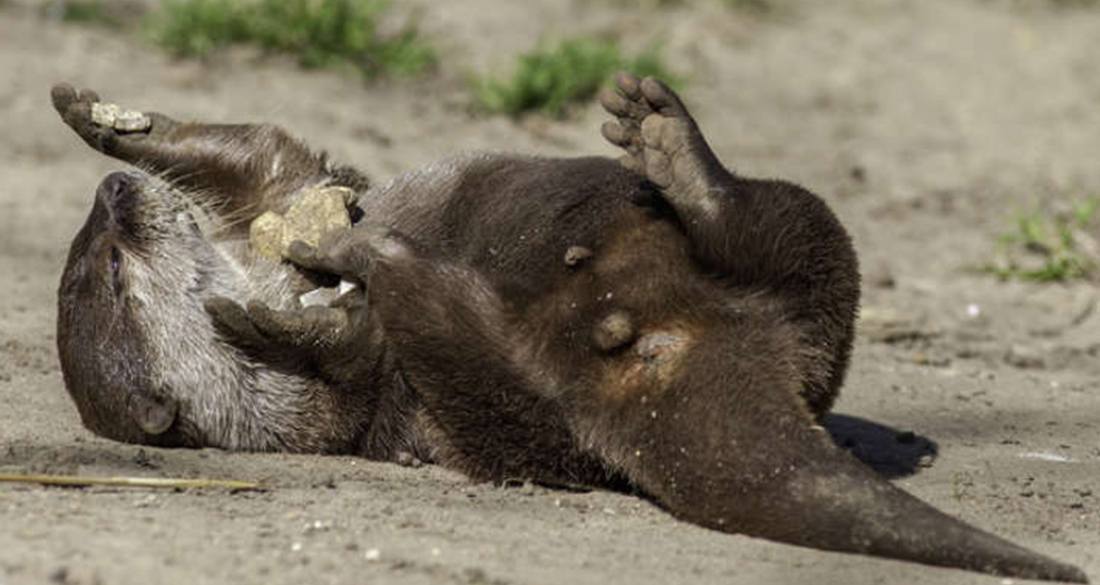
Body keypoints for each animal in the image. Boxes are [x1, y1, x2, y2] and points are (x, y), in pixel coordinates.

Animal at [52, 76, 1087, 583]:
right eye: (114, 270)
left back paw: (668, 151)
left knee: (772, 225)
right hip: (513, 421)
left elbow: (261, 152)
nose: (110, 200)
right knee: (464, 344)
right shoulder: (315, 411)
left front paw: (106, 120)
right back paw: (388, 262)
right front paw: (277, 318)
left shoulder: (285, 187)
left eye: (96, 247)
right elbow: (344, 374)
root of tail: (656, 347)